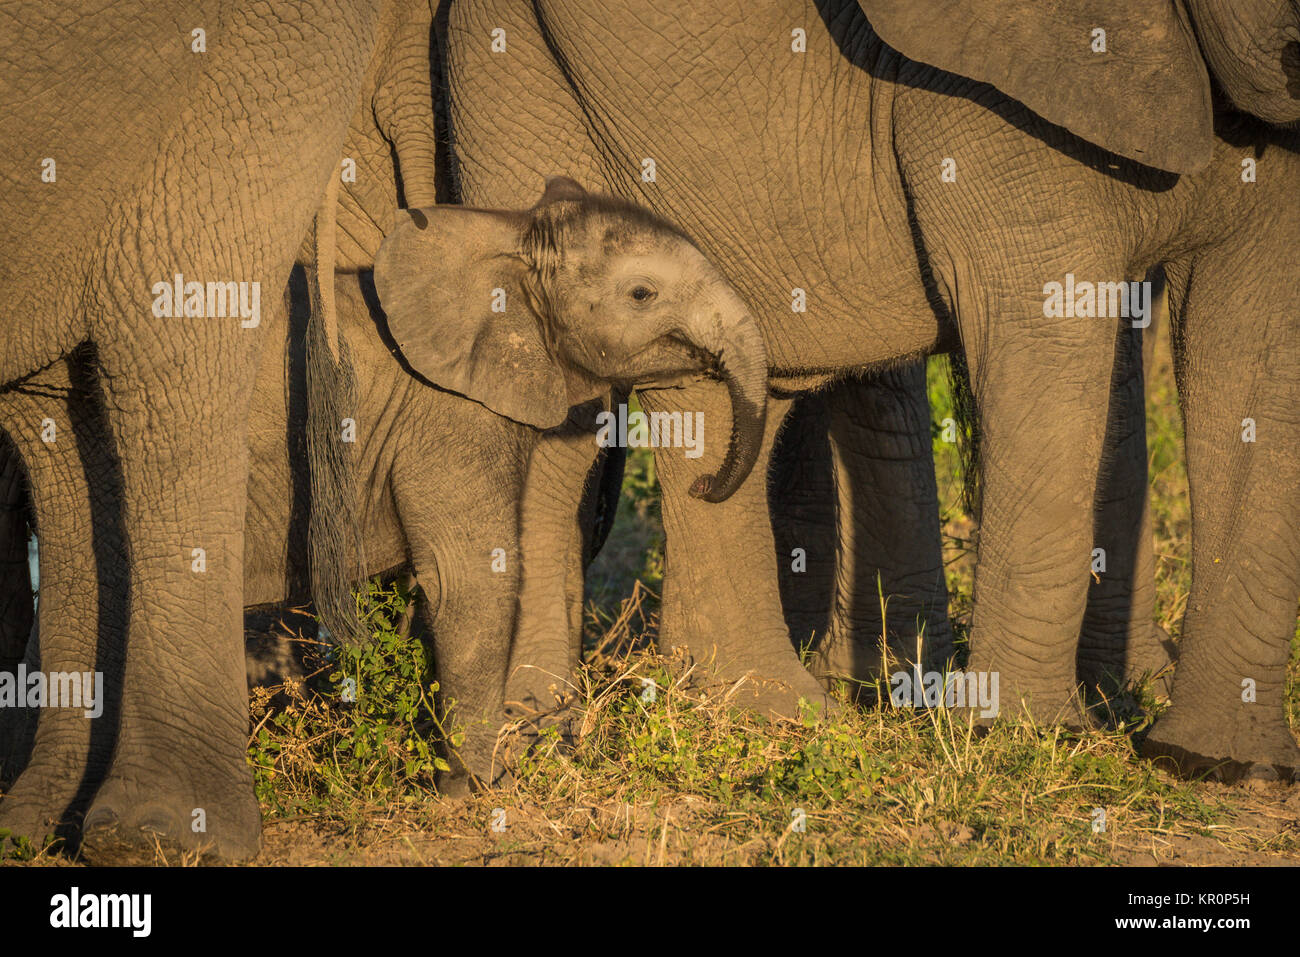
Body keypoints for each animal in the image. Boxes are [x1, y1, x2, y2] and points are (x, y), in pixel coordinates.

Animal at [439, 0, 1300, 777]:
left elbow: (1255, 348)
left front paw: (1222, 763)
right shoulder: (991, 98)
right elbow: (1046, 337)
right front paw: (1032, 741)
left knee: (704, 389)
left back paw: (767, 714)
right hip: (514, 74)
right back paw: (541, 727)